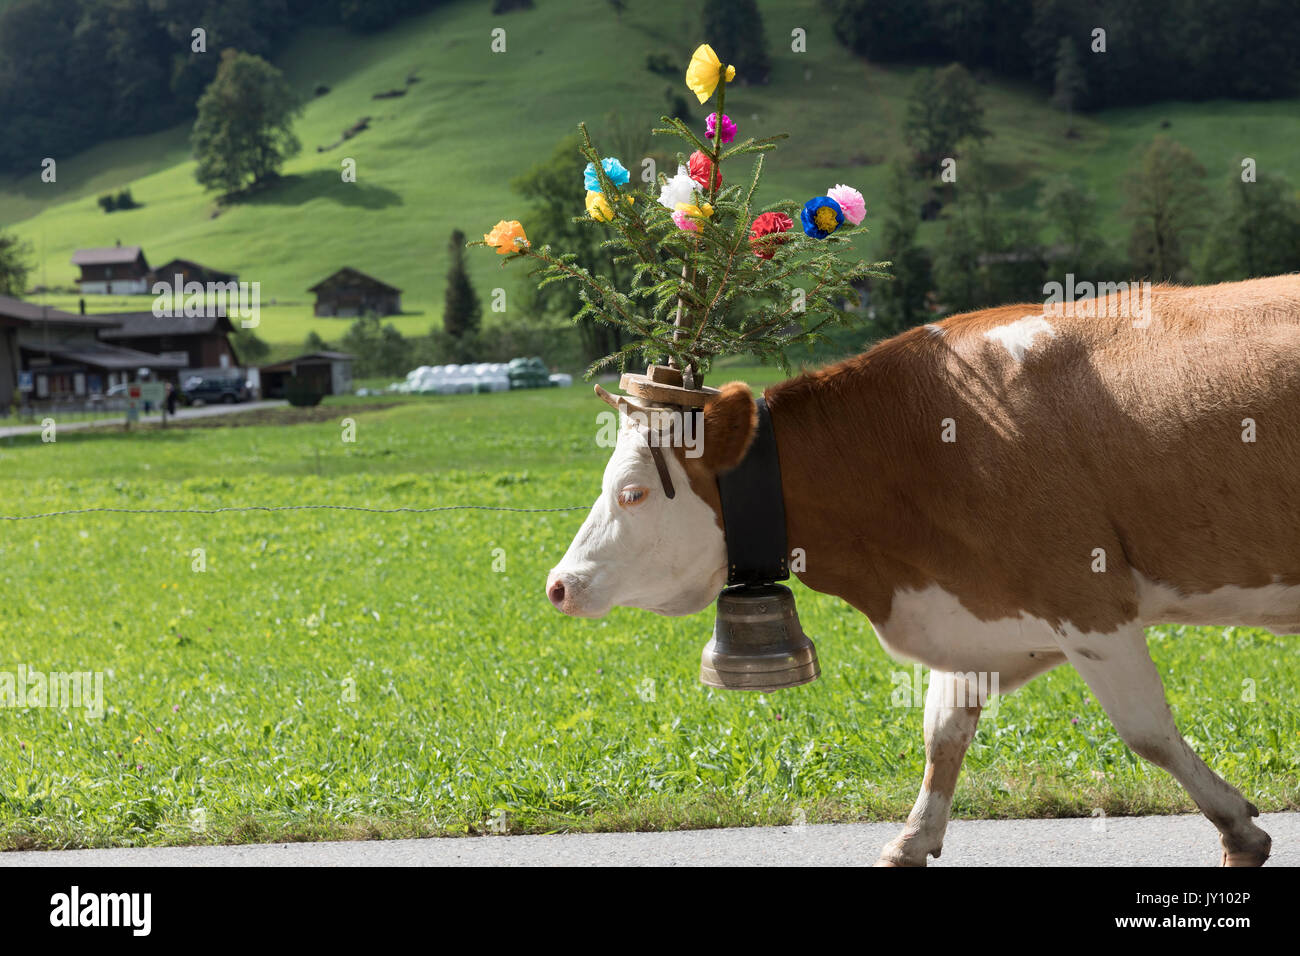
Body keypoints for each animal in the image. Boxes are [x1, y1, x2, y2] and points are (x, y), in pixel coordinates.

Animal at [546, 274, 1300, 866]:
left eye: (633, 493)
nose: (559, 585)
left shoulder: (1088, 600)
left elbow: (1147, 733)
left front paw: (1240, 831)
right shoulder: (973, 617)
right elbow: (943, 735)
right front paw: (911, 840)